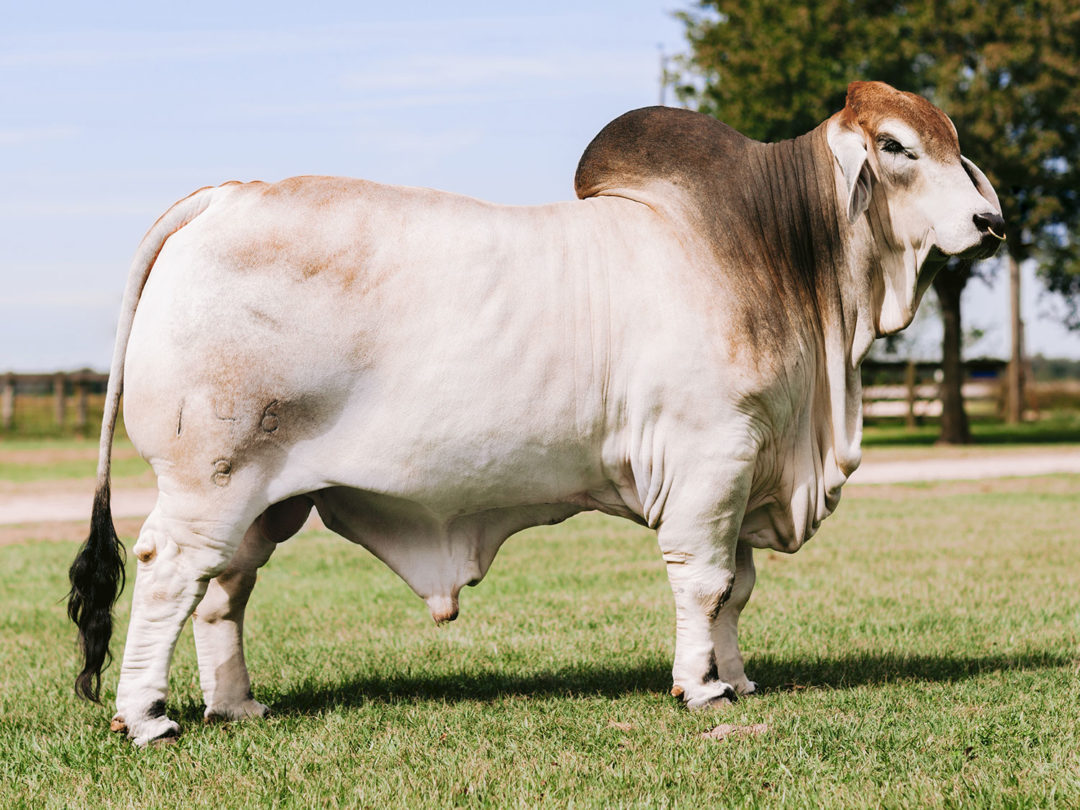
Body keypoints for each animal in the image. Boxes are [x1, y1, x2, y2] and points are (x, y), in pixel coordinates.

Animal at [68, 81, 1004, 745]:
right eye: (897, 146)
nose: (991, 221)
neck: (778, 254)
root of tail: (225, 195)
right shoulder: (712, 457)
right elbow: (702, 582)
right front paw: (701, 689)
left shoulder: (745, 466)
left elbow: (736, 588)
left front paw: (736, 678)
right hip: (210, 480)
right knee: (168, 575)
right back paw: (148, 718)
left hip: (267, 497)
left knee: (224, 592)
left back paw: (236, 706)